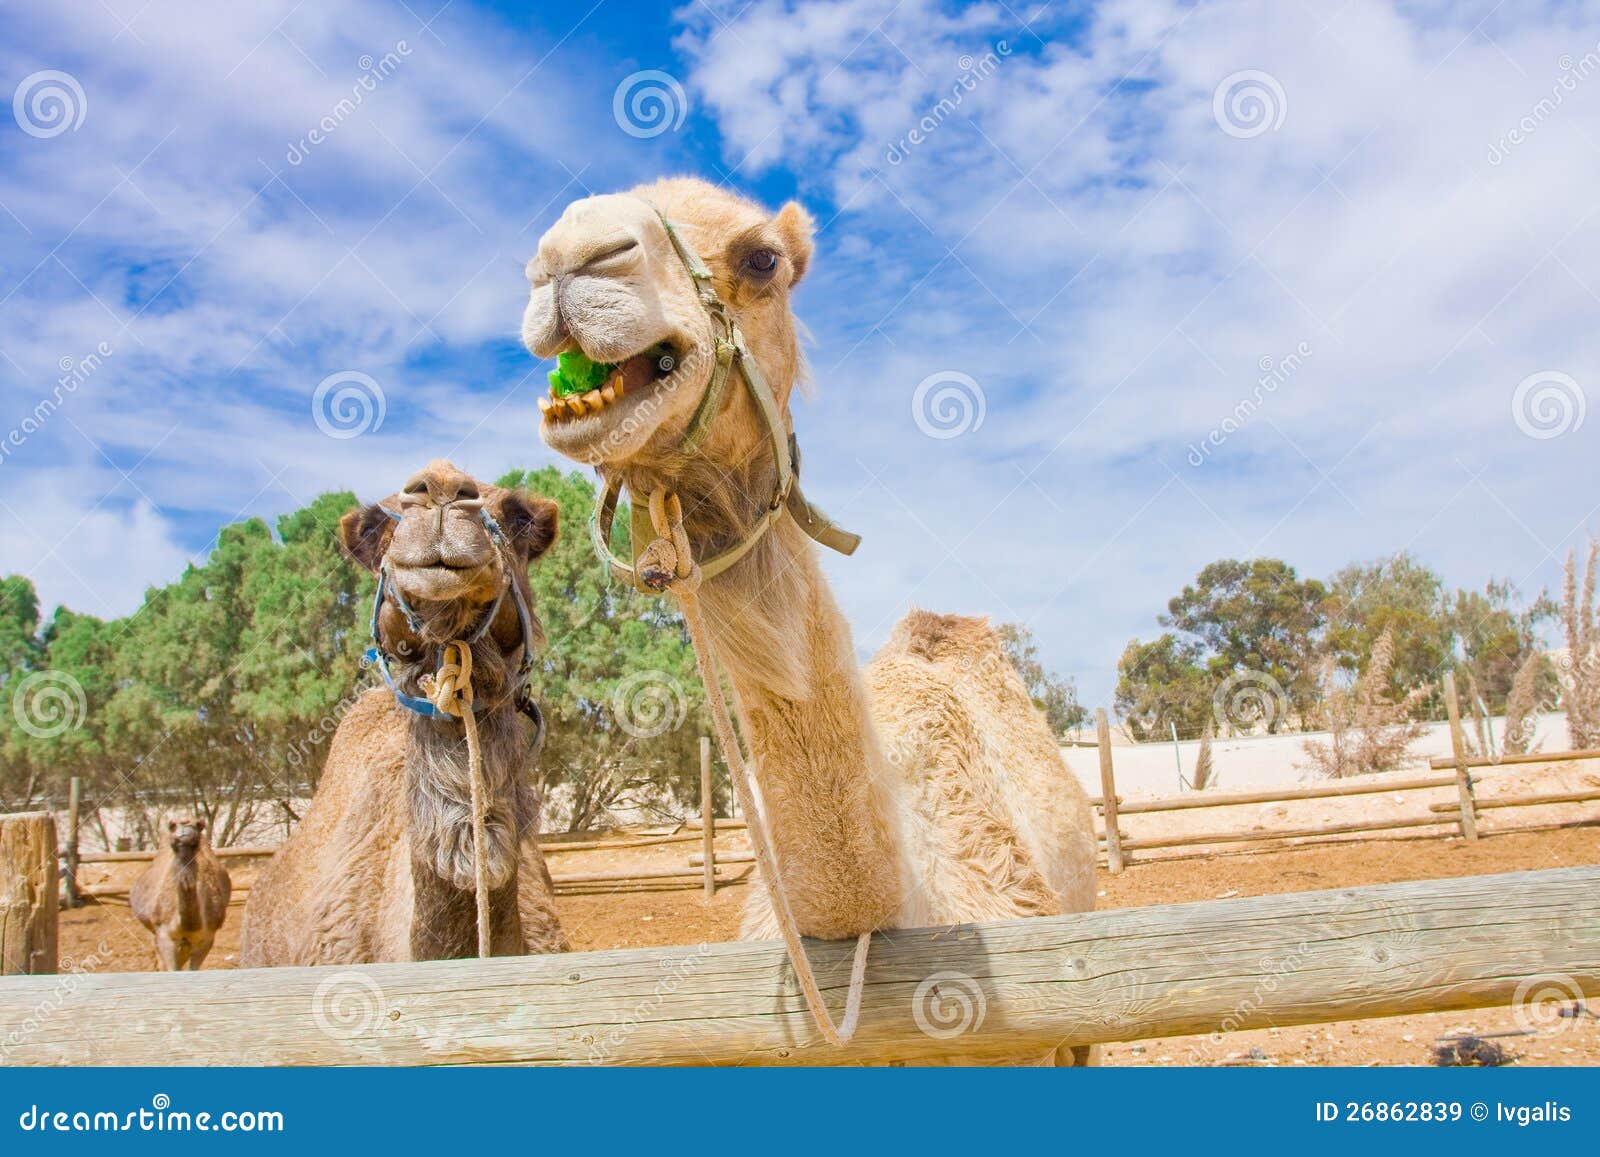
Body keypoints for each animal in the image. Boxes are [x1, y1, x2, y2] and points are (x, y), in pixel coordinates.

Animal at [129, 816, 232, 971]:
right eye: (172, 826)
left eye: (199, 825)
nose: (185, 829)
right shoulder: (164, 934)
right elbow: (172, 968)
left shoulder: (207, 937)